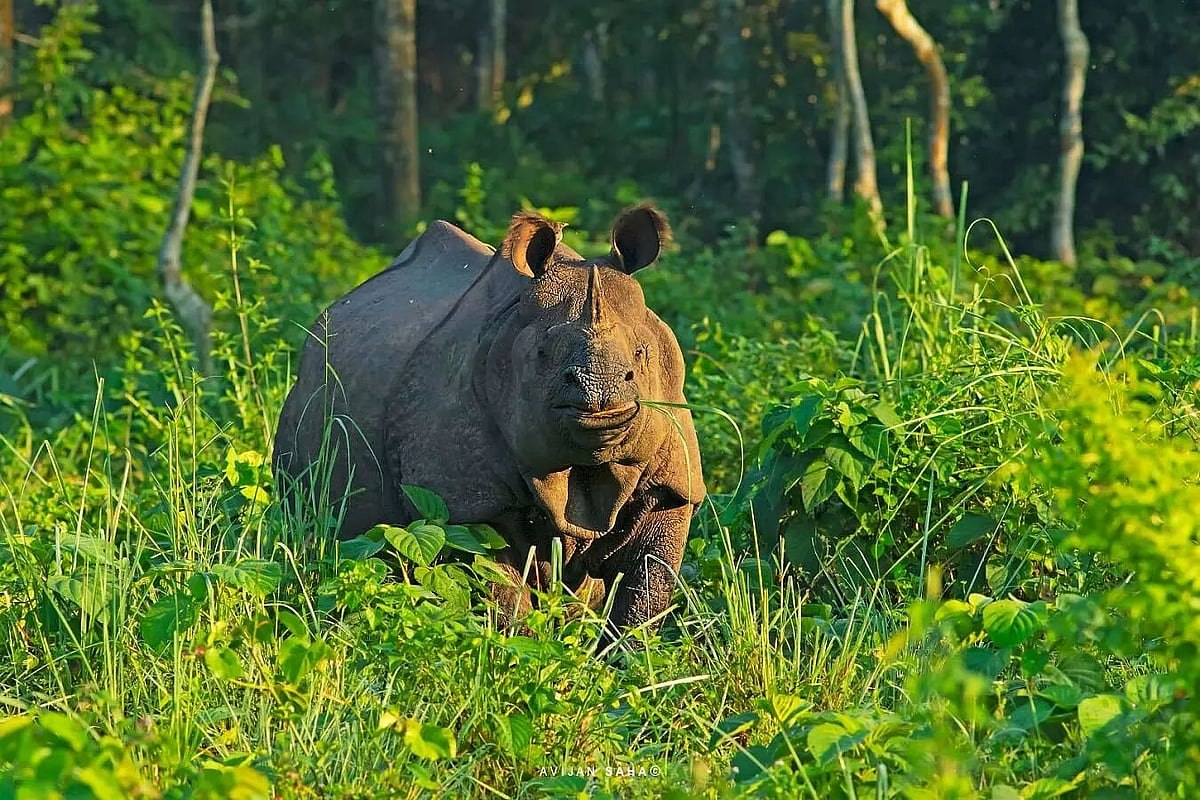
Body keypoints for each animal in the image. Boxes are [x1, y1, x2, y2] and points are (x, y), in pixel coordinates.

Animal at [272, 204, 704, 637]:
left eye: (640, 354)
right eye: (543, 354)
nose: (600, 388)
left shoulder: (673, 484)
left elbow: (646, 586)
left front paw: (624, 653)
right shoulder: (463, 499)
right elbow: (500, 587)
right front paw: (520, 648)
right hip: (307, 393)